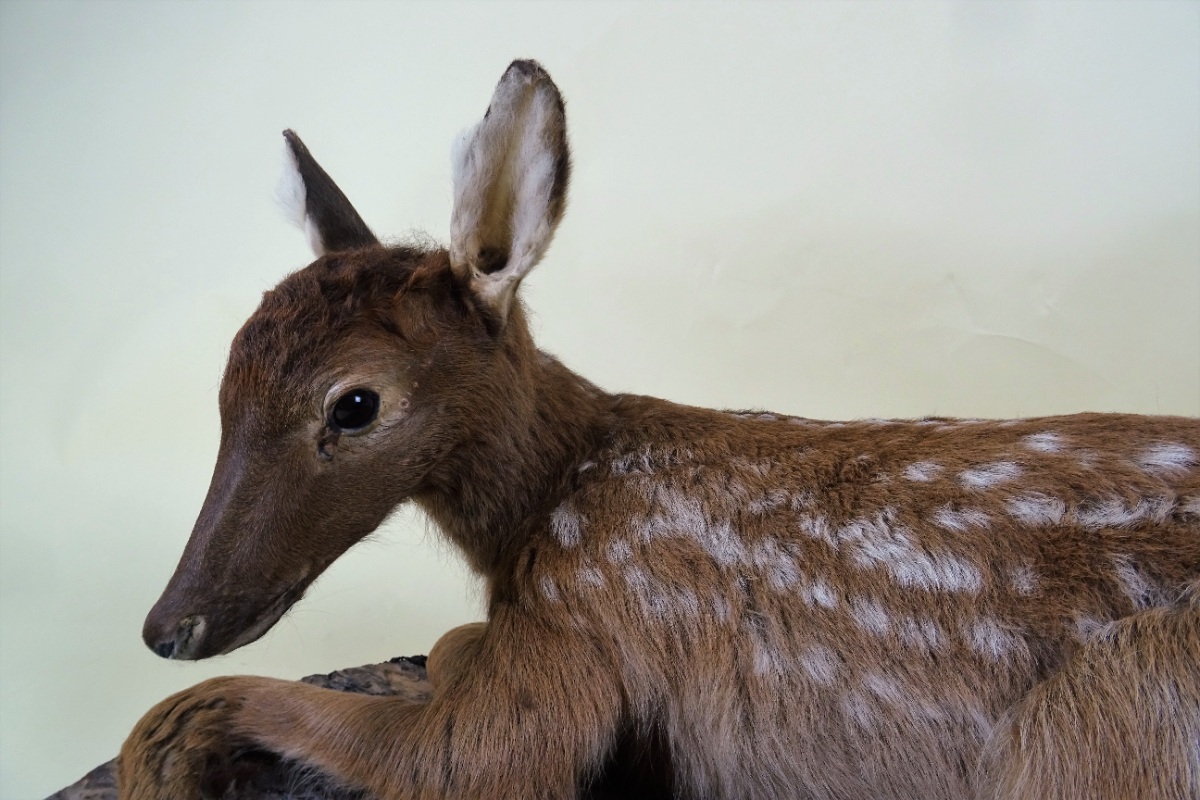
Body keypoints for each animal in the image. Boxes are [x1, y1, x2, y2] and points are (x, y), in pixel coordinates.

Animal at [117, 59, 1200, 800]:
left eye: (355, 402)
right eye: (221, 383)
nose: (171, 625)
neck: (547, 499)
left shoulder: (573, 632)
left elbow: (463, 751)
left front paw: (160, 747)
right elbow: (451, 642)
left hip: (1103, 712)